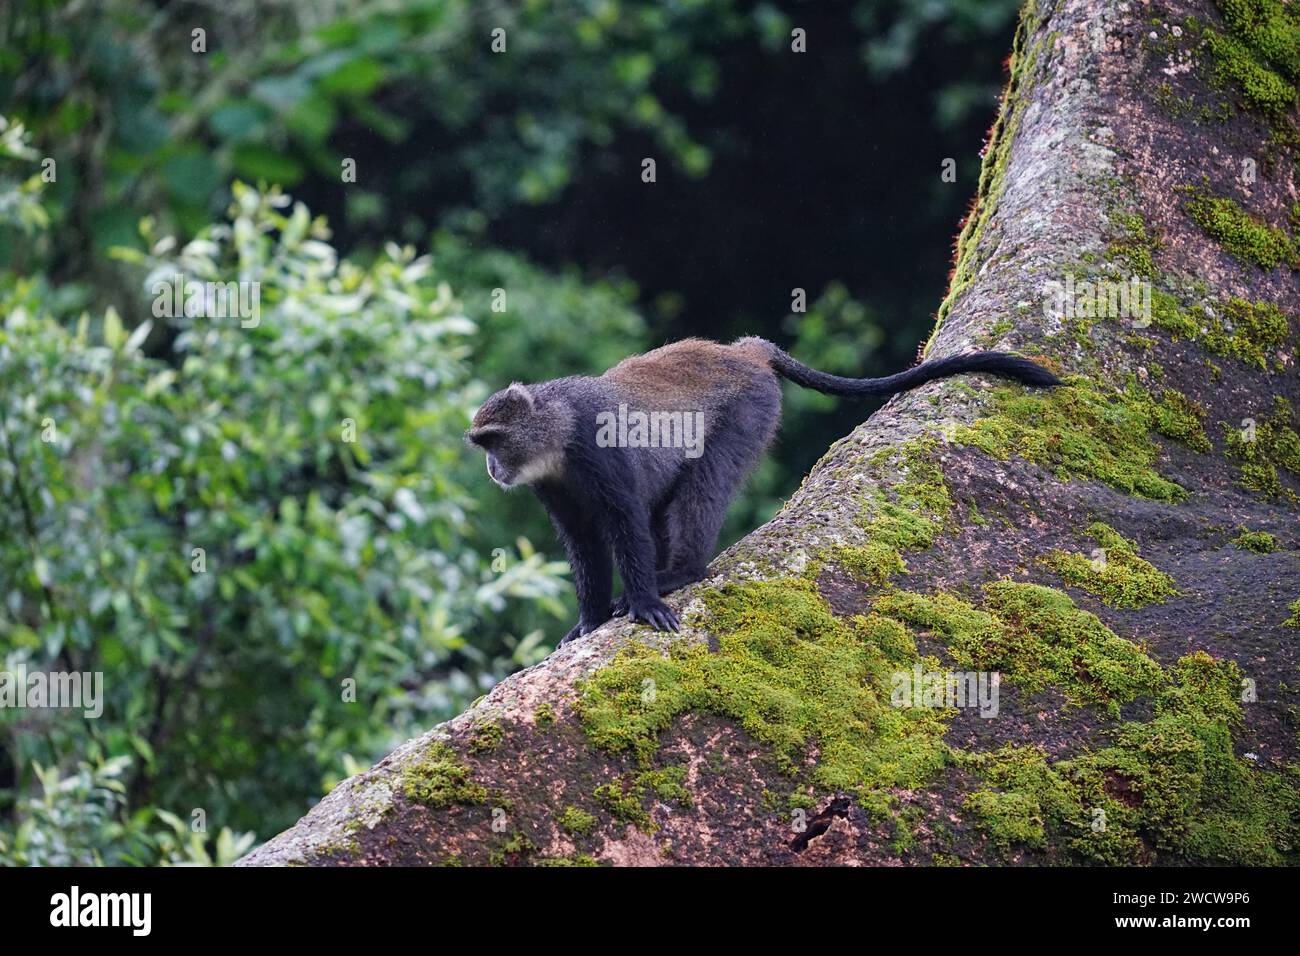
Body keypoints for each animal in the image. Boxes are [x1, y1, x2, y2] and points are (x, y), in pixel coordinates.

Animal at [466, 337, 1060, 645]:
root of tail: (744, 352)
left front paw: (644, 602)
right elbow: (584, 543)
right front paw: (588, 621)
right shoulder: (554, 486)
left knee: (701, 491)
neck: (557, 428)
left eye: (493, 440)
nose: (492, 468)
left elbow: (625, 521)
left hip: (748, 414)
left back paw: (681, 572)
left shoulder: (596, 447)